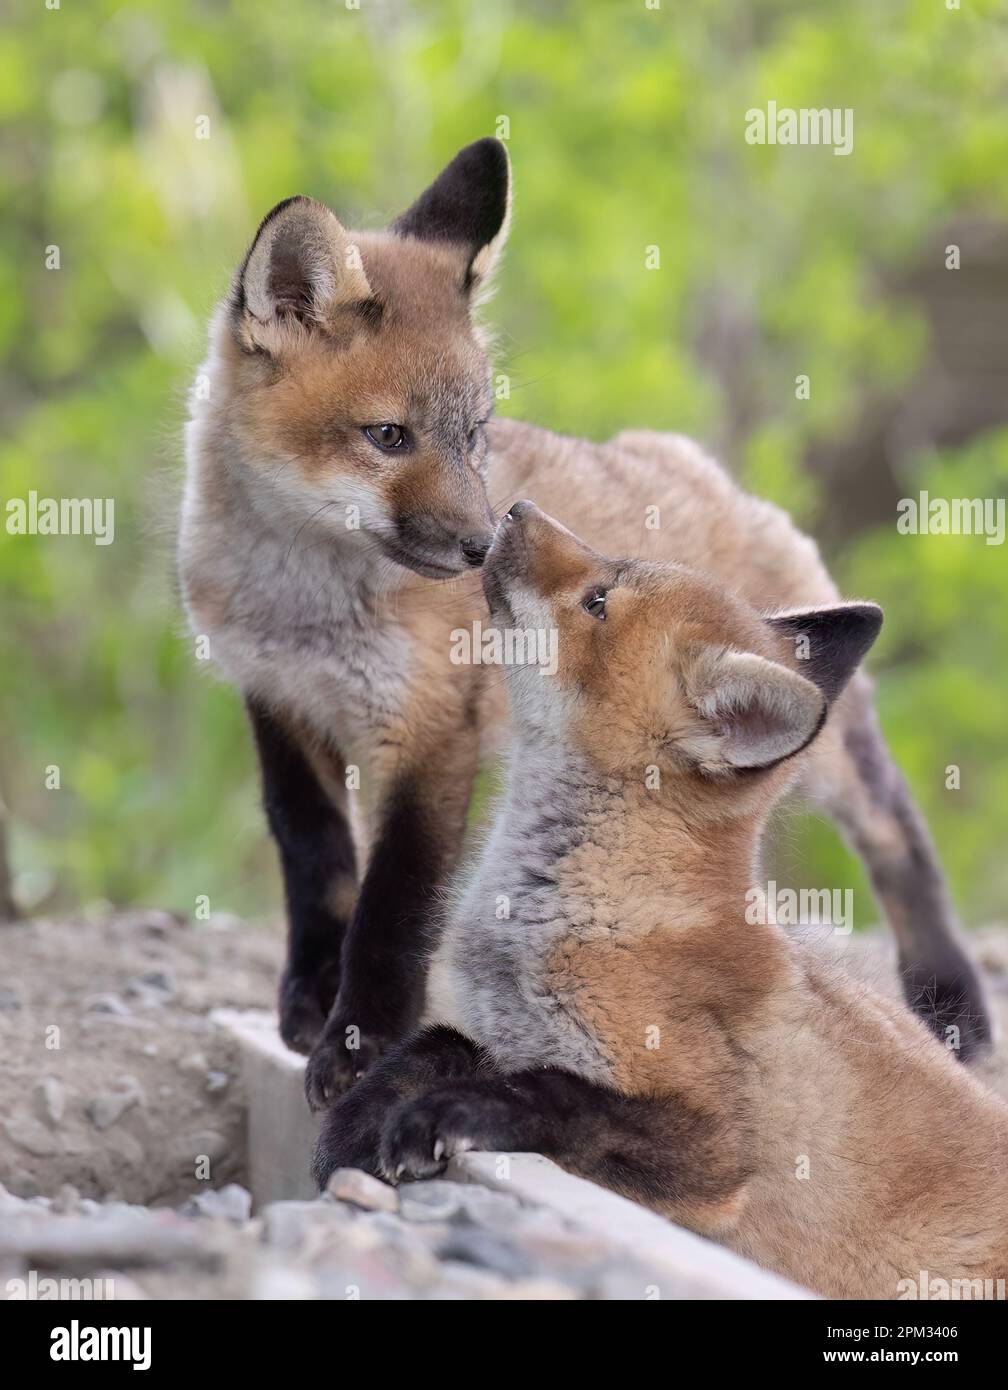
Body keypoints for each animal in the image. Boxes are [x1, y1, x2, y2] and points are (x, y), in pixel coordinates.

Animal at [178, 137, 990, 1108]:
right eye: (389, 436)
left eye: (475, 435)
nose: (482, 543)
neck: (302, 604)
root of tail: (696, 464)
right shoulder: (276, 698)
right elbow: (316, 865)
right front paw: (308, 1001)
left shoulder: (430, 731)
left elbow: (393, 904)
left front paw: (359, 1039)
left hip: (821, 747)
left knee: (898, 830)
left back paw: (952, 1001)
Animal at [312, 502, 1008, 1301]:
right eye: (609, 574)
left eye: (598, 602)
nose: (516, 509)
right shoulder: (489, 1025)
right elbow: (437, 1045)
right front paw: (358, 1119)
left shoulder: (716, 1153)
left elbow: (552, 1092)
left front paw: (445, 1113)